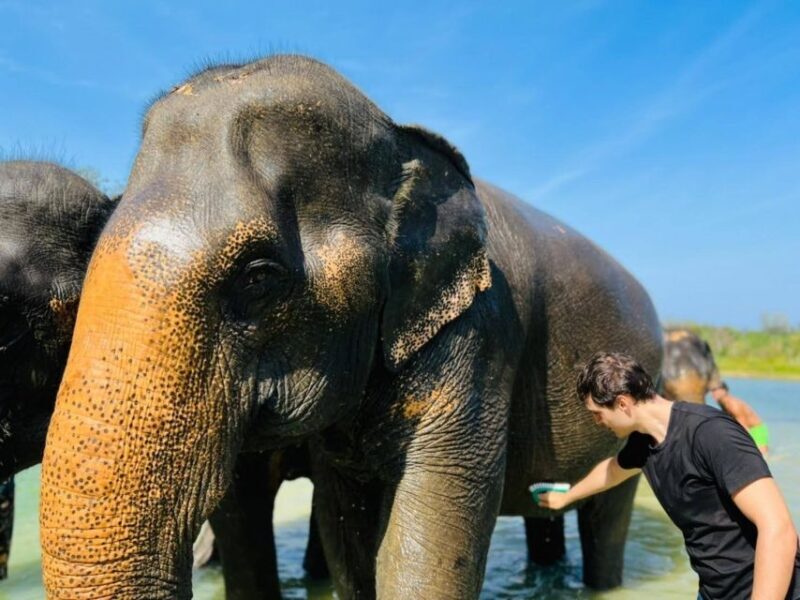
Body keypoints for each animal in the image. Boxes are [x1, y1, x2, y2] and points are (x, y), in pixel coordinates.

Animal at [39, 55, 663, 599]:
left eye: (258, 278)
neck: (400, 137)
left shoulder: (481, 332)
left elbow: (433, 520)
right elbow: (346, 532)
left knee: (608, 516)